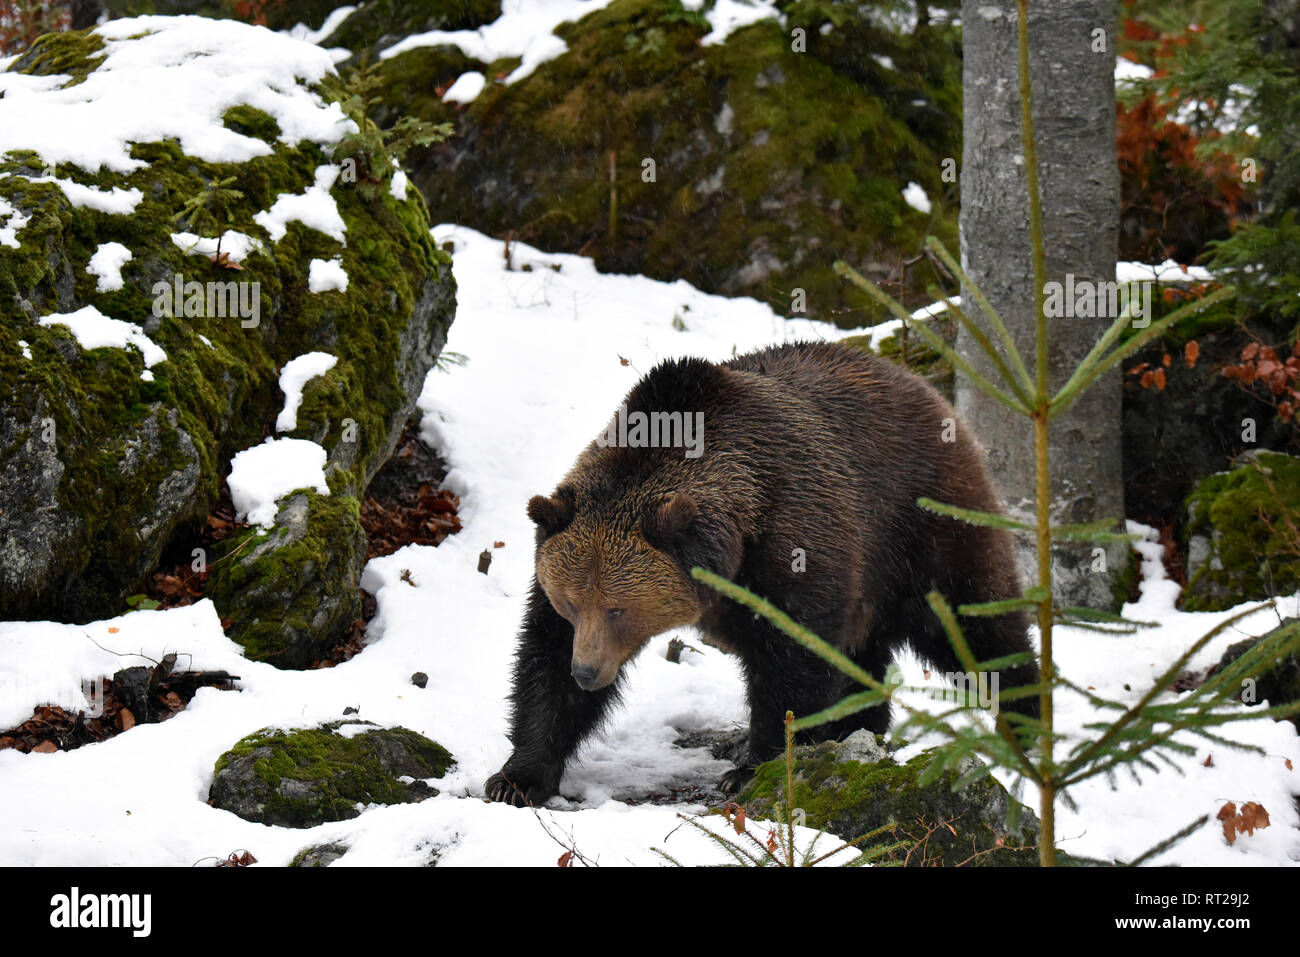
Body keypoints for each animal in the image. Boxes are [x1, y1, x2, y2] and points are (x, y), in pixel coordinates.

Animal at [484, 340, 1039, 806]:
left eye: (619, 609)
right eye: (572, 603)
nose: (588, 671)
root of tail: (920, 385)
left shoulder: (795, 542)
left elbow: (792, 664)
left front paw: (755, 766)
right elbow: (543, 660)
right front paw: (517, 778)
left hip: (923, 523)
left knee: (977, 621)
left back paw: (1025, 724)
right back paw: (860, 726)